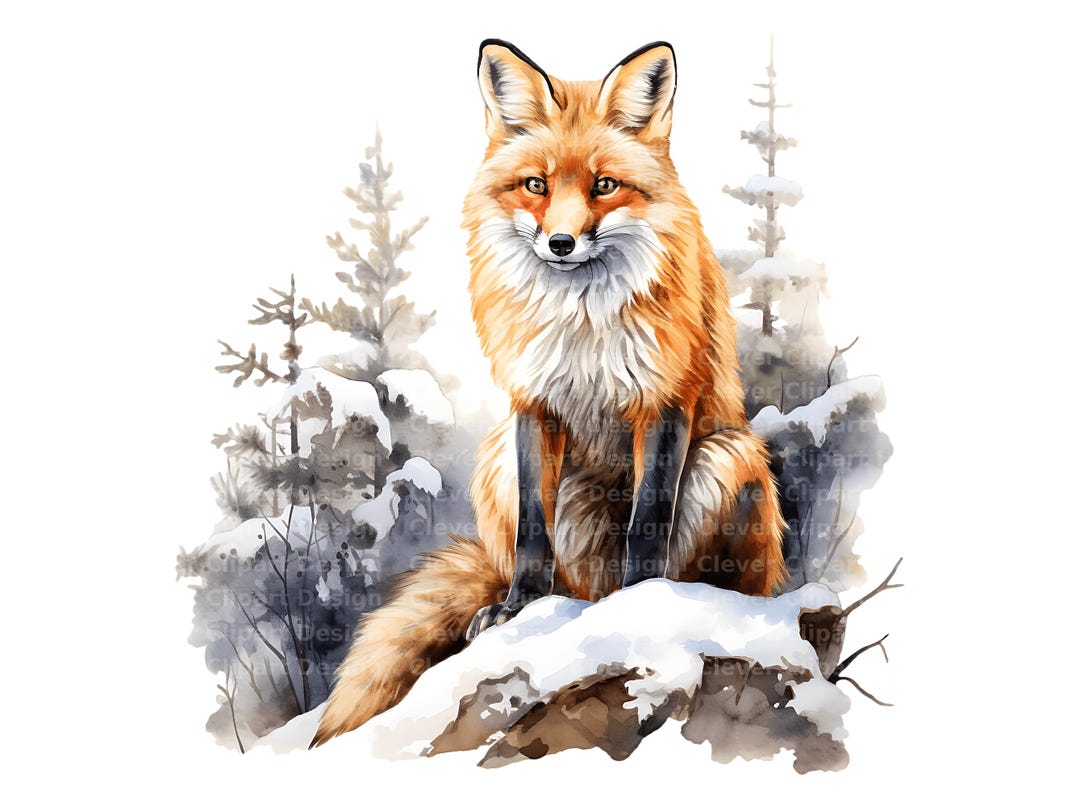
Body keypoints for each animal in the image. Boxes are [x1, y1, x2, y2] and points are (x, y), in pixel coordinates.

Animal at [312, 39, 786, 747]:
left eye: (604, 185)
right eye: (536, 185)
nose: (561, 243)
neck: (581, 322)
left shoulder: (665, 401)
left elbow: (647, 524)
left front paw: (639, 604)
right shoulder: (532, 406)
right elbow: (534, 530)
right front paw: (521, 607)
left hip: (728, 454)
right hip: (495, 461)